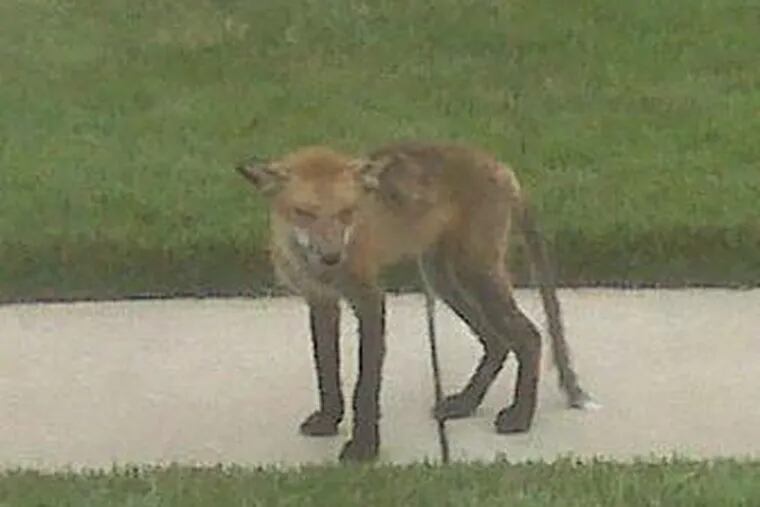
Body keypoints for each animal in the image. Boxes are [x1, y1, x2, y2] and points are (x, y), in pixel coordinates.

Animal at [235, 141, 594, 462]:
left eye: (347, 213)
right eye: (304, 213)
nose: (332, 257)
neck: (318, 270)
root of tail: (502, 167)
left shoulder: (369, 299)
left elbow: (365, 387)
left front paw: (364, 448)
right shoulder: (320, 302)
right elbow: (326, 370)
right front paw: (328, 421)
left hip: (475, 275)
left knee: (529, 338)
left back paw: (520, 417)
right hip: (446, 281)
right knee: (497, 343)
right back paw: (466, 403)